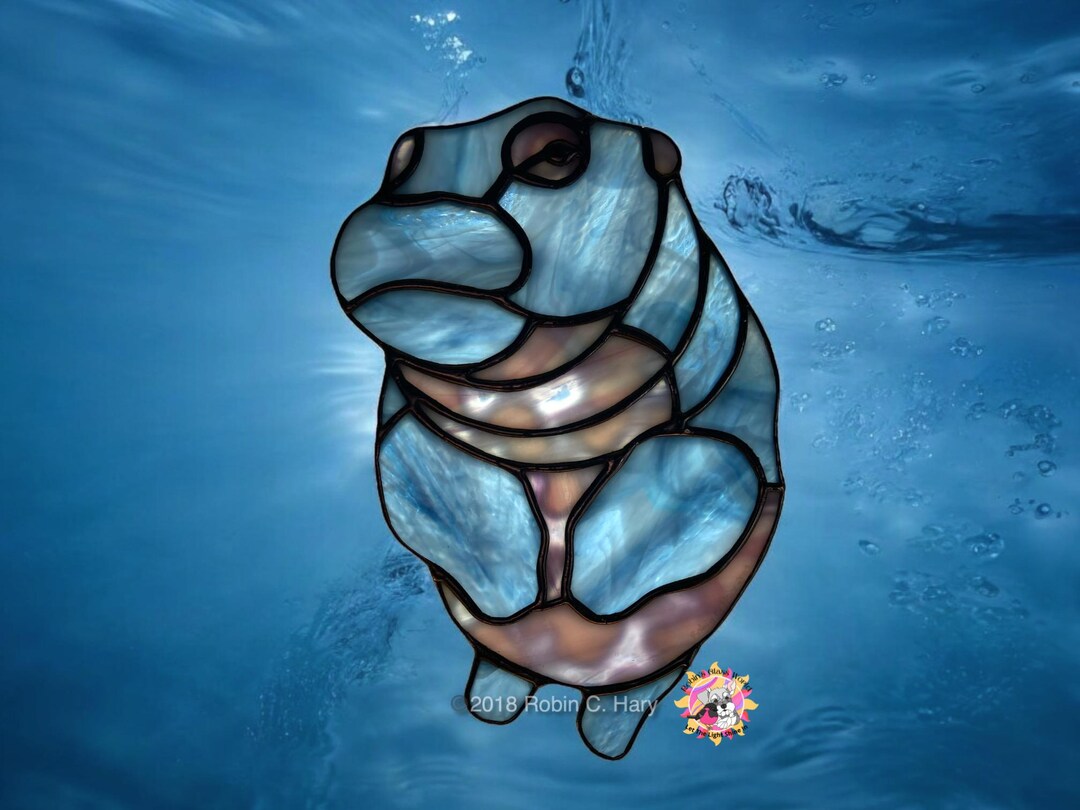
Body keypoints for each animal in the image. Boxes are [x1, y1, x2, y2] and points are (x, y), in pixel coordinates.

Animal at [330, 97, 784, 759]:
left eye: (556, 152)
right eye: (402, 154)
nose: (402, 222)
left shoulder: (735, 437)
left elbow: (704, 476)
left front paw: (594, 585)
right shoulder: (408, 423)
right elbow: (439, 484)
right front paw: (510, 590)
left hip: (660, 670)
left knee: (629, 694)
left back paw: (604, 739)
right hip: (504, 663)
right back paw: (494, 706)